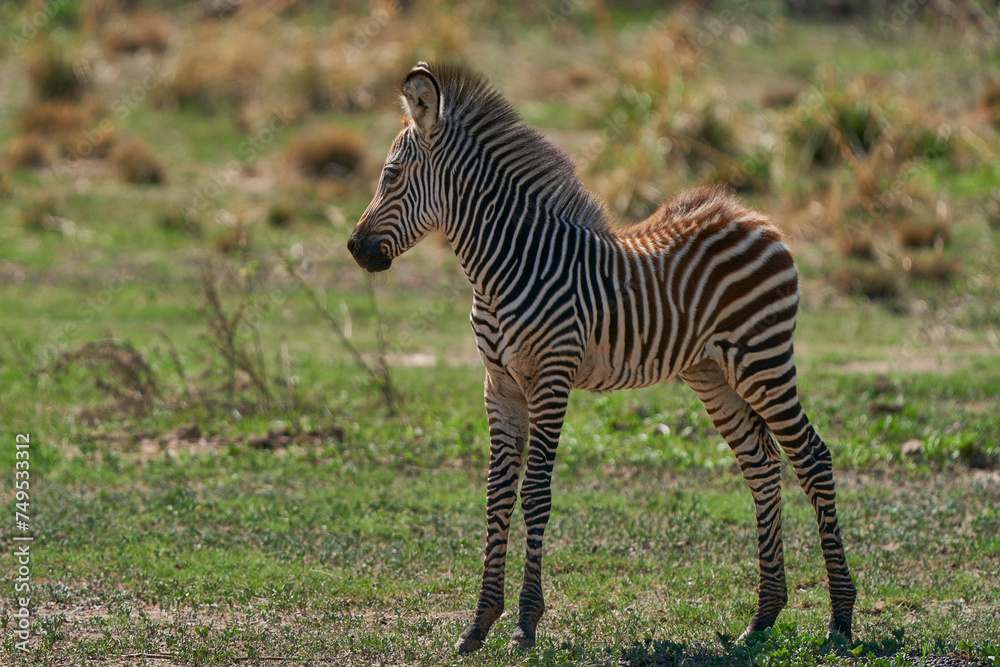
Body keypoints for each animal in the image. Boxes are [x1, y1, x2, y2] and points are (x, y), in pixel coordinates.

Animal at [347, 62, 856, 653]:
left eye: (389, 175)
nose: (354, 249)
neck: (506, 265)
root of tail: (755, 217)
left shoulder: (550, 376)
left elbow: (535, 494)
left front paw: (525, 622)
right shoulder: (499, 385)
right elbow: (497, 495)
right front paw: (478, 623)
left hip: (763, 360)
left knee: (812, 458)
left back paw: (841, 618)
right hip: (712, 372)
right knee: (762, 466)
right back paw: (763, 617)